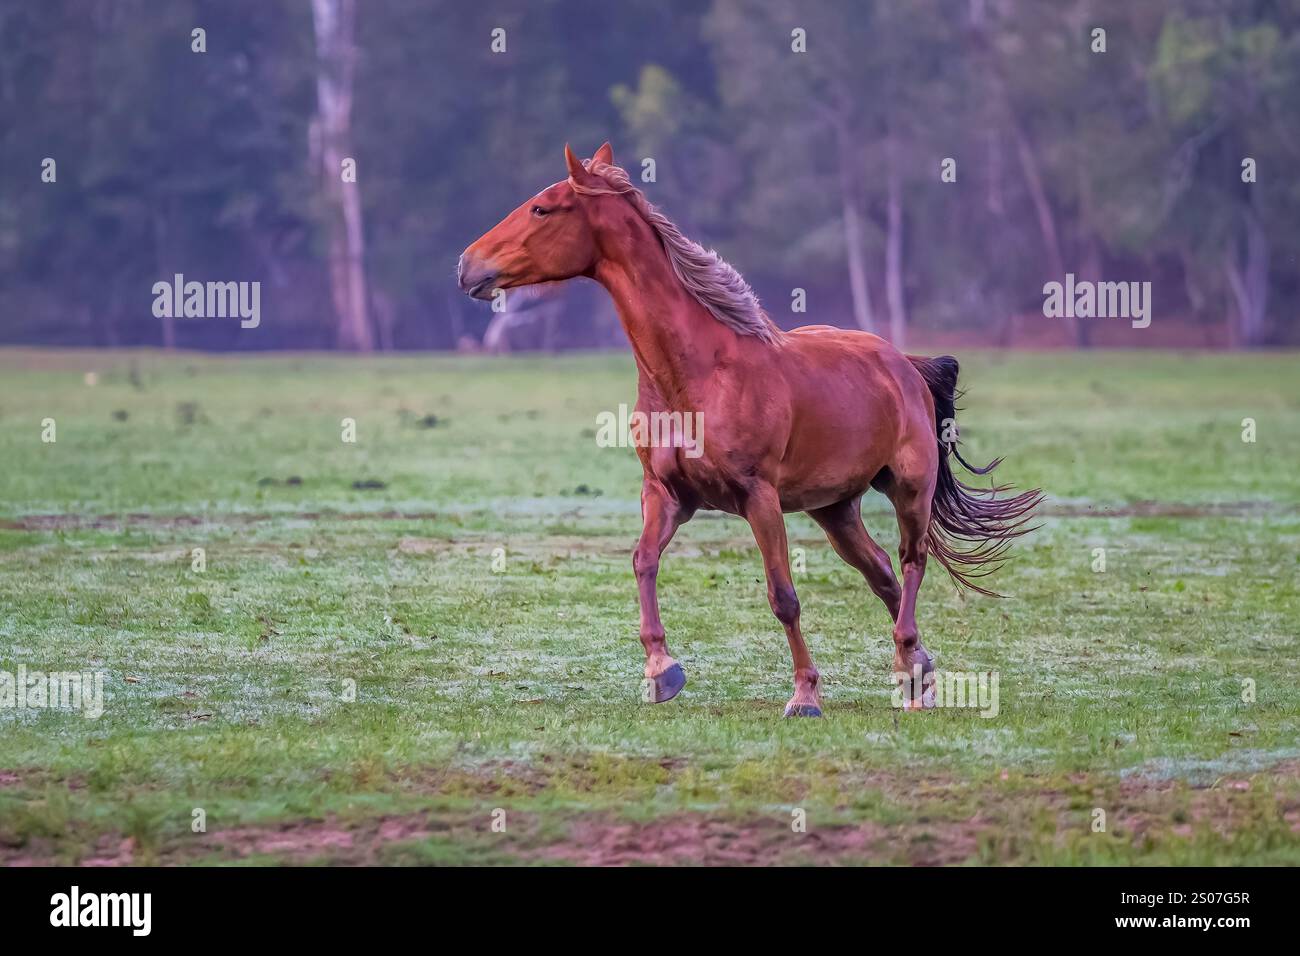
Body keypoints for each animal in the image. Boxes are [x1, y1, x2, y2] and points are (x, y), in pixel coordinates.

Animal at [459, 142, 1041, 717]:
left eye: (541, 208)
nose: (467, 266)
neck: (697, 372)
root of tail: (905, 365)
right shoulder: (666, 493)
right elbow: (643, 562)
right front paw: (661, 671)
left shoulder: (758, 496)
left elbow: (783, 596)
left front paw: (804, 694)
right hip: (835, 510)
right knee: (882, 573)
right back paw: (918, 670)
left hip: (909, 489)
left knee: (911, 563)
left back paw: (909, 672)